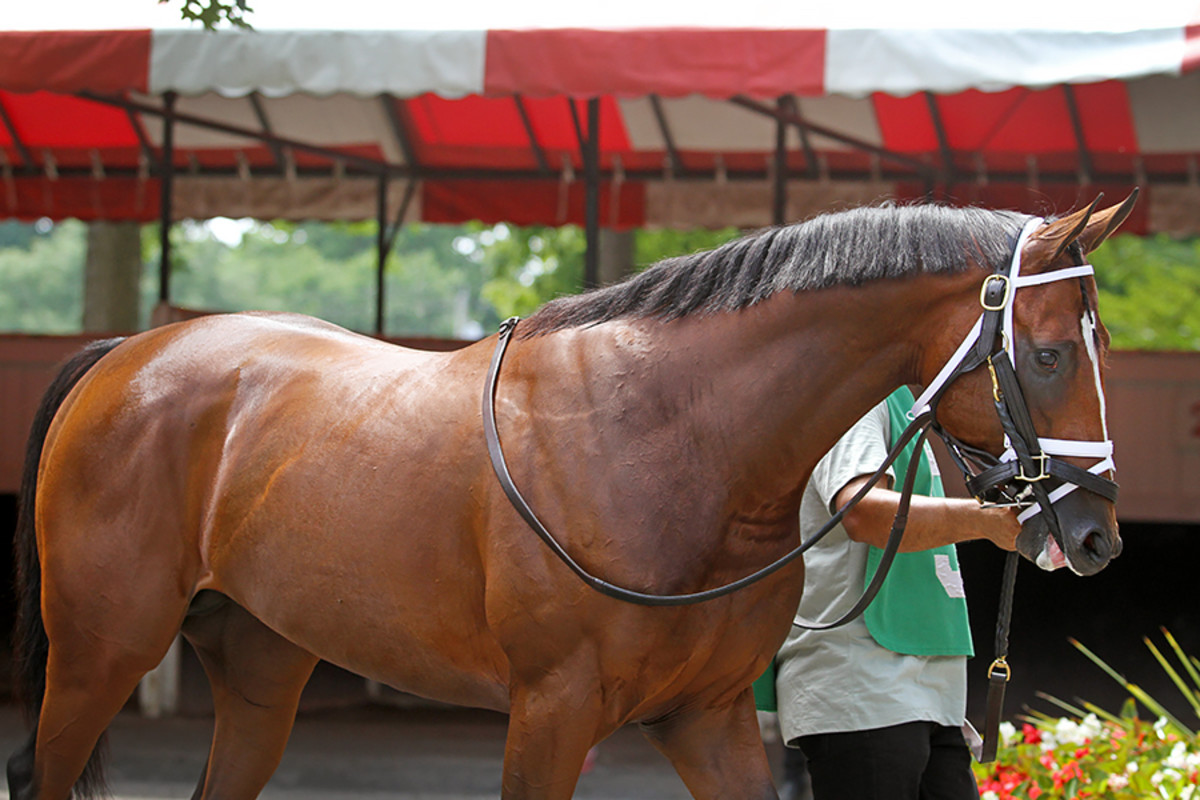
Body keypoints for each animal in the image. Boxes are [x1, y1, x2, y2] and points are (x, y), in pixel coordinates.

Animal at [8, 195, 1133, 799]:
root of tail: (129, 355)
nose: (1093, 533)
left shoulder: (707, 716)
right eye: (1043, 353)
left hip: (258, 661)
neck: (670, 438)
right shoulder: (551, 710)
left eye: (1100, 343)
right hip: (104, 646)